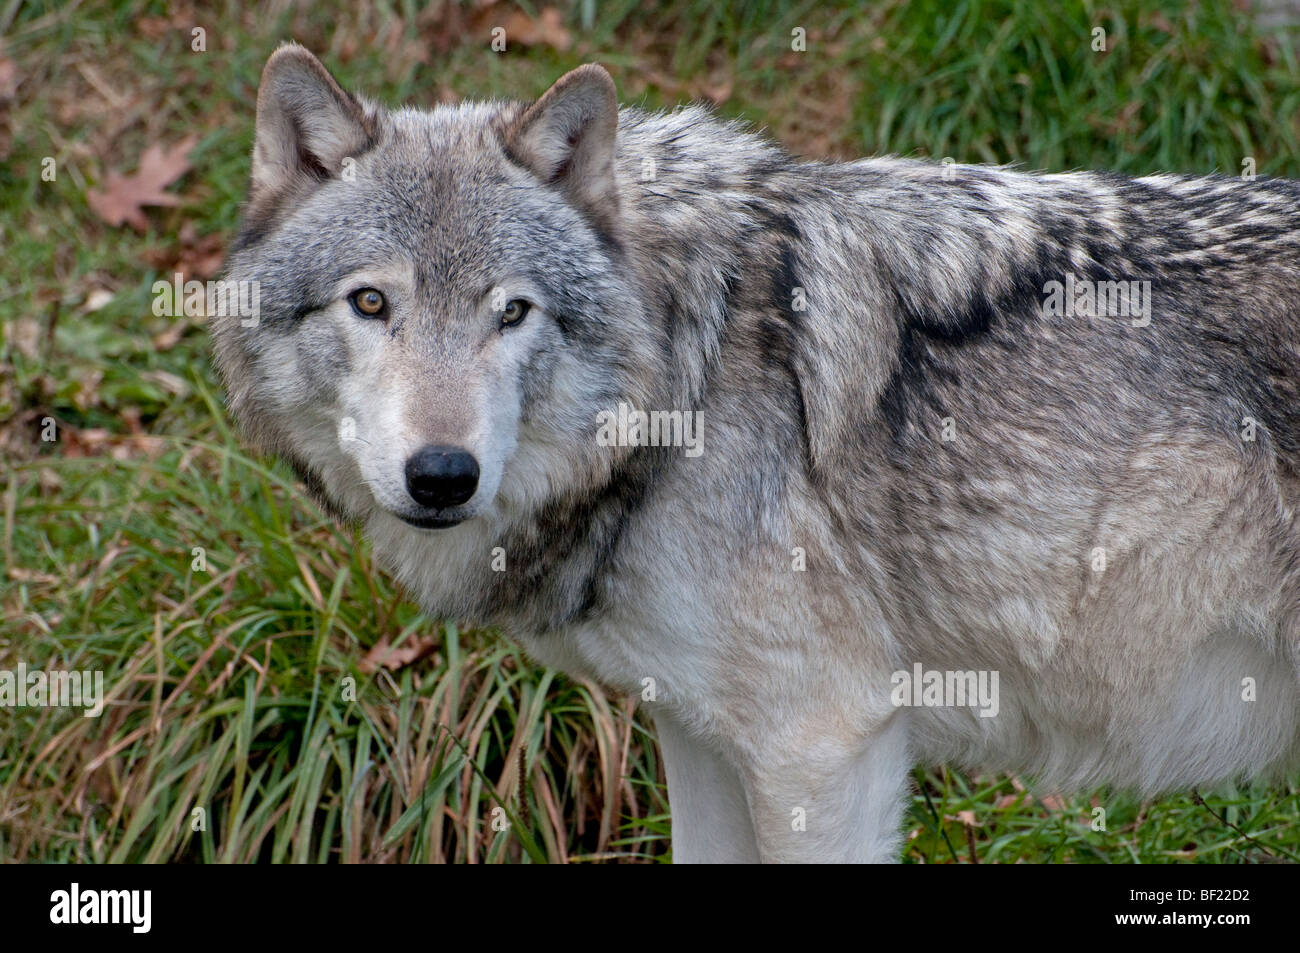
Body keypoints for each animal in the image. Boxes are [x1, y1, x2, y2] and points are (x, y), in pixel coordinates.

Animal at [213, 43, 1300, 863]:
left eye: (511, 312)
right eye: (370, 302)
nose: (442, 474)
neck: (685, 377)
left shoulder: (820, 744)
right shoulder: (700, 731)